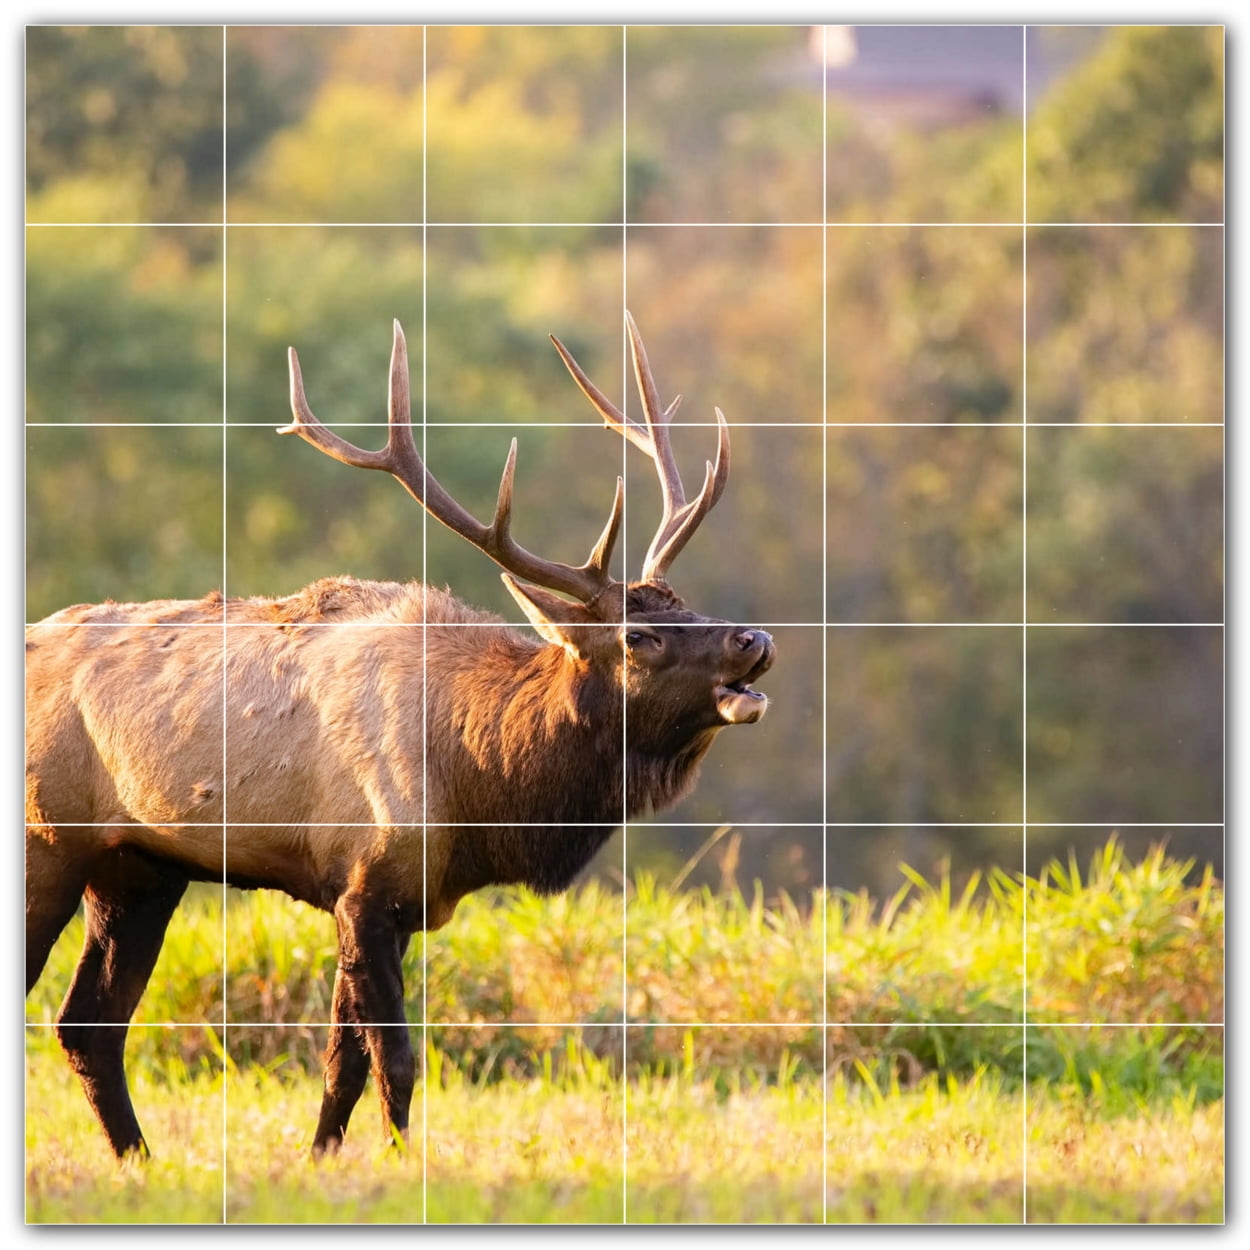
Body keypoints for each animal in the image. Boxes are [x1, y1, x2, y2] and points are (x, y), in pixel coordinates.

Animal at [25, 313, 775, 1160]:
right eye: (637, 638)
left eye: (688, 603)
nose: (754, 640)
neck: (480, 787)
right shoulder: (364, 881)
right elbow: (397, 1060)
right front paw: (403, 1162)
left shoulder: (399, 901)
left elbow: (341, 1064)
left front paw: (323, 1159)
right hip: (48, 842)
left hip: (138, 869)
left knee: (88, 1025)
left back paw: (139, 1159)